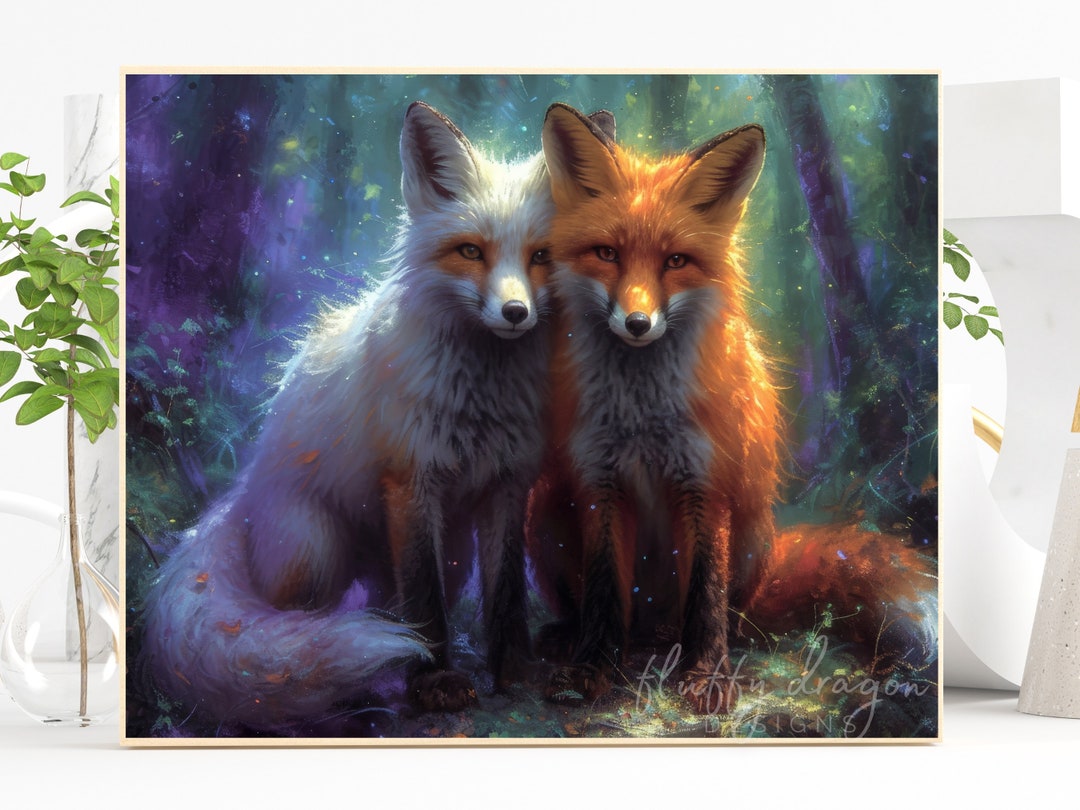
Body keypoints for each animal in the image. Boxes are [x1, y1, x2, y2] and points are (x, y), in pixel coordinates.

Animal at [140, 101, 558, 732]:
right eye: (471, 251)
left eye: (540, 256)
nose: (515, 312)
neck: (481, 397)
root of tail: (247, 486)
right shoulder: (410, 482)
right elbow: (426, 608)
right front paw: (434, 683)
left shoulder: (507, 485)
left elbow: (505, 595)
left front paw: (516, 674)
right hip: (316, 553)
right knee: (296, 634)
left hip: (450, 551)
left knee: (387, 603)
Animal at [525, 103, 781, 713]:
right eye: (607, 254)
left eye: (675, 261)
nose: (638, 324)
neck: (640, 416)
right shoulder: (599, 481)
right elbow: (602, 593)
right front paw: (593, 666)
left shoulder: (706, 482)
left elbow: (706, 597)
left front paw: (707, 676)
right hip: (543, 513)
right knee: (603, 612)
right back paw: (569, 636)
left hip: (756, 533)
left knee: (720, 611)